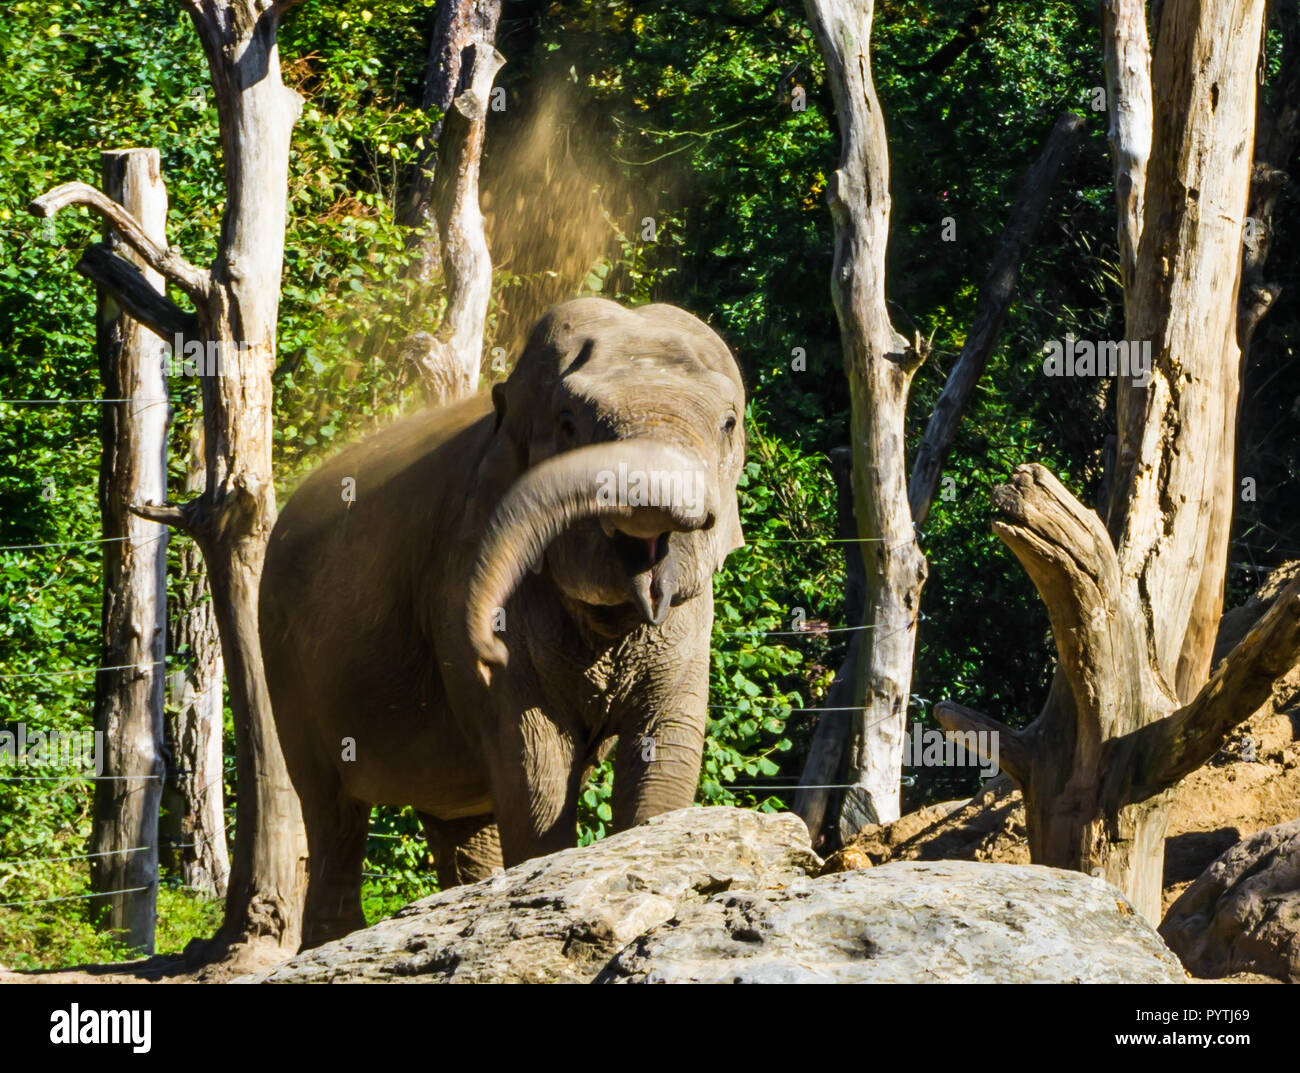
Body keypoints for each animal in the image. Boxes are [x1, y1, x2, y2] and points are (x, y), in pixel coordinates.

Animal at [259, 297, 747, 948]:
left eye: (728, 424)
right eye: (568, 423)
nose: (487, 647)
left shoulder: (690, 621)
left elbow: (667, 737)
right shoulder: (463, 565)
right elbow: (533, 761)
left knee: (459, 823)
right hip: (286, 665)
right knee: (333, 812)